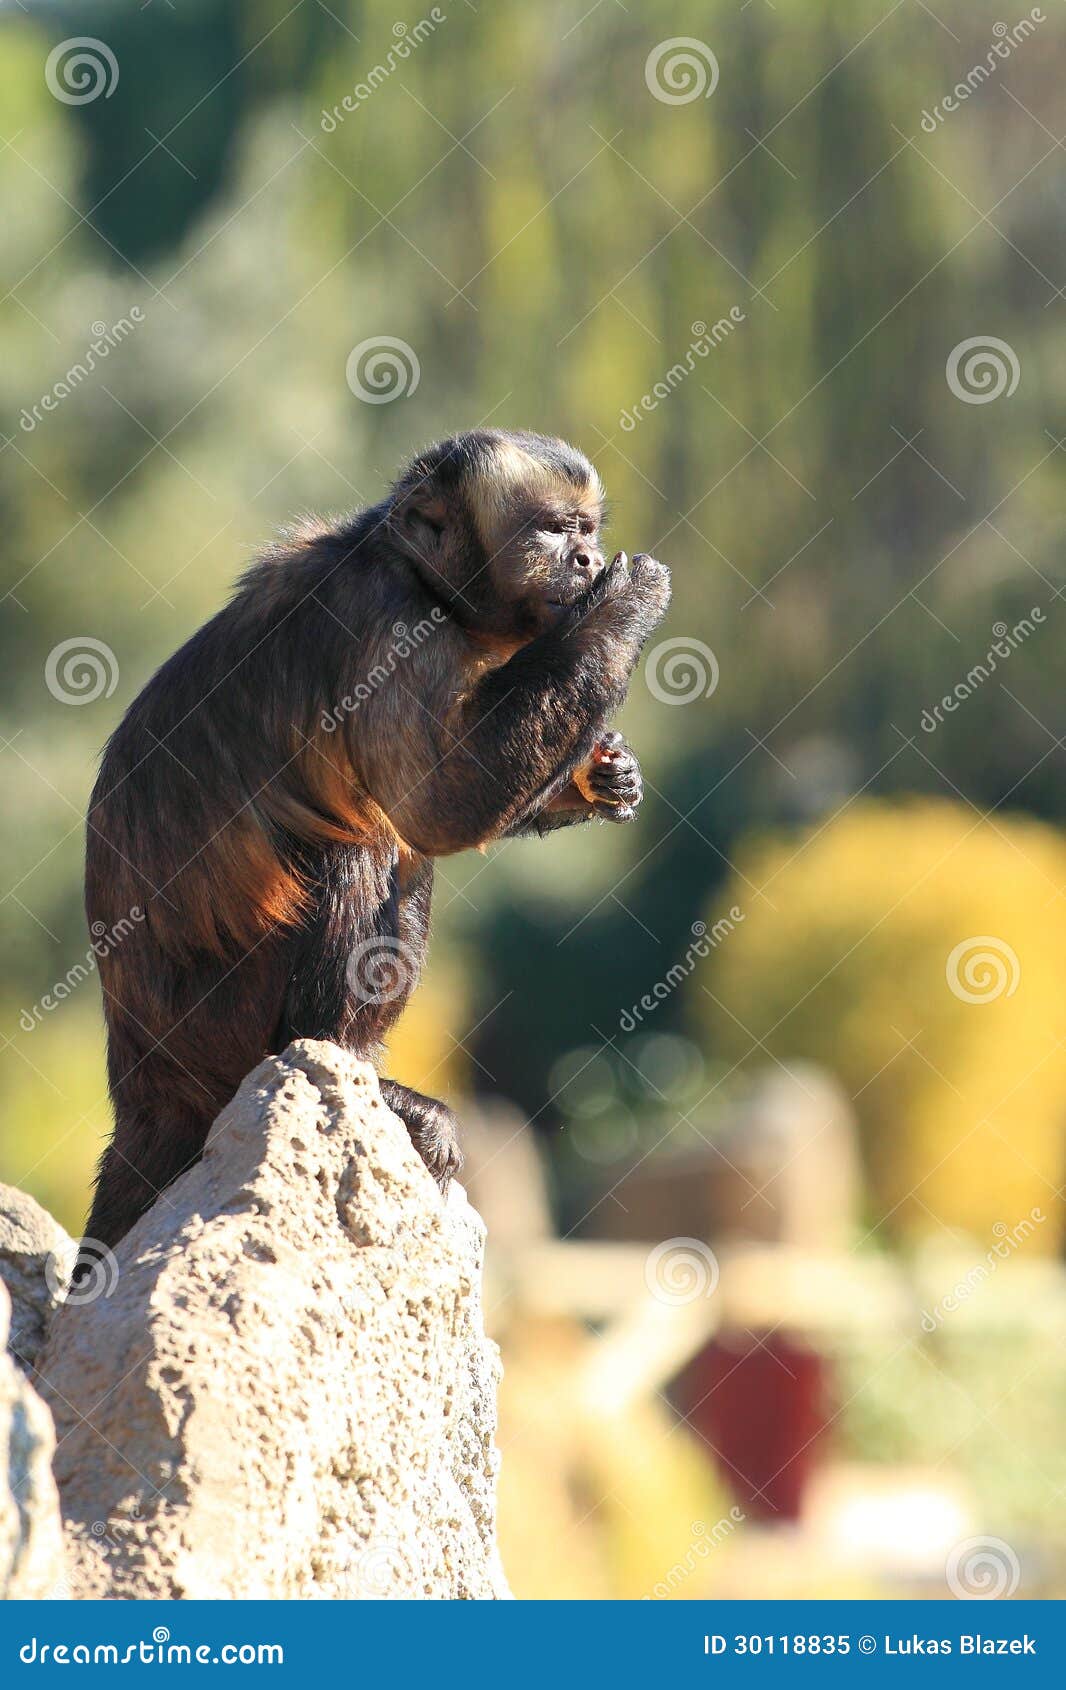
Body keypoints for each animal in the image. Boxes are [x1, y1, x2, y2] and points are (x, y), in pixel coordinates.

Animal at [82, 429, 671, 1254]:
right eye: (556, 531)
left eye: (585, 531)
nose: (586, 559)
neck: (420, 576)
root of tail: (140, 1080)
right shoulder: (390, 621)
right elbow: (441, 806)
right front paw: (624, 601)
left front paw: (607, 775)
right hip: (215, 1025)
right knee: (362, 848)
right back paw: (338, 1061)